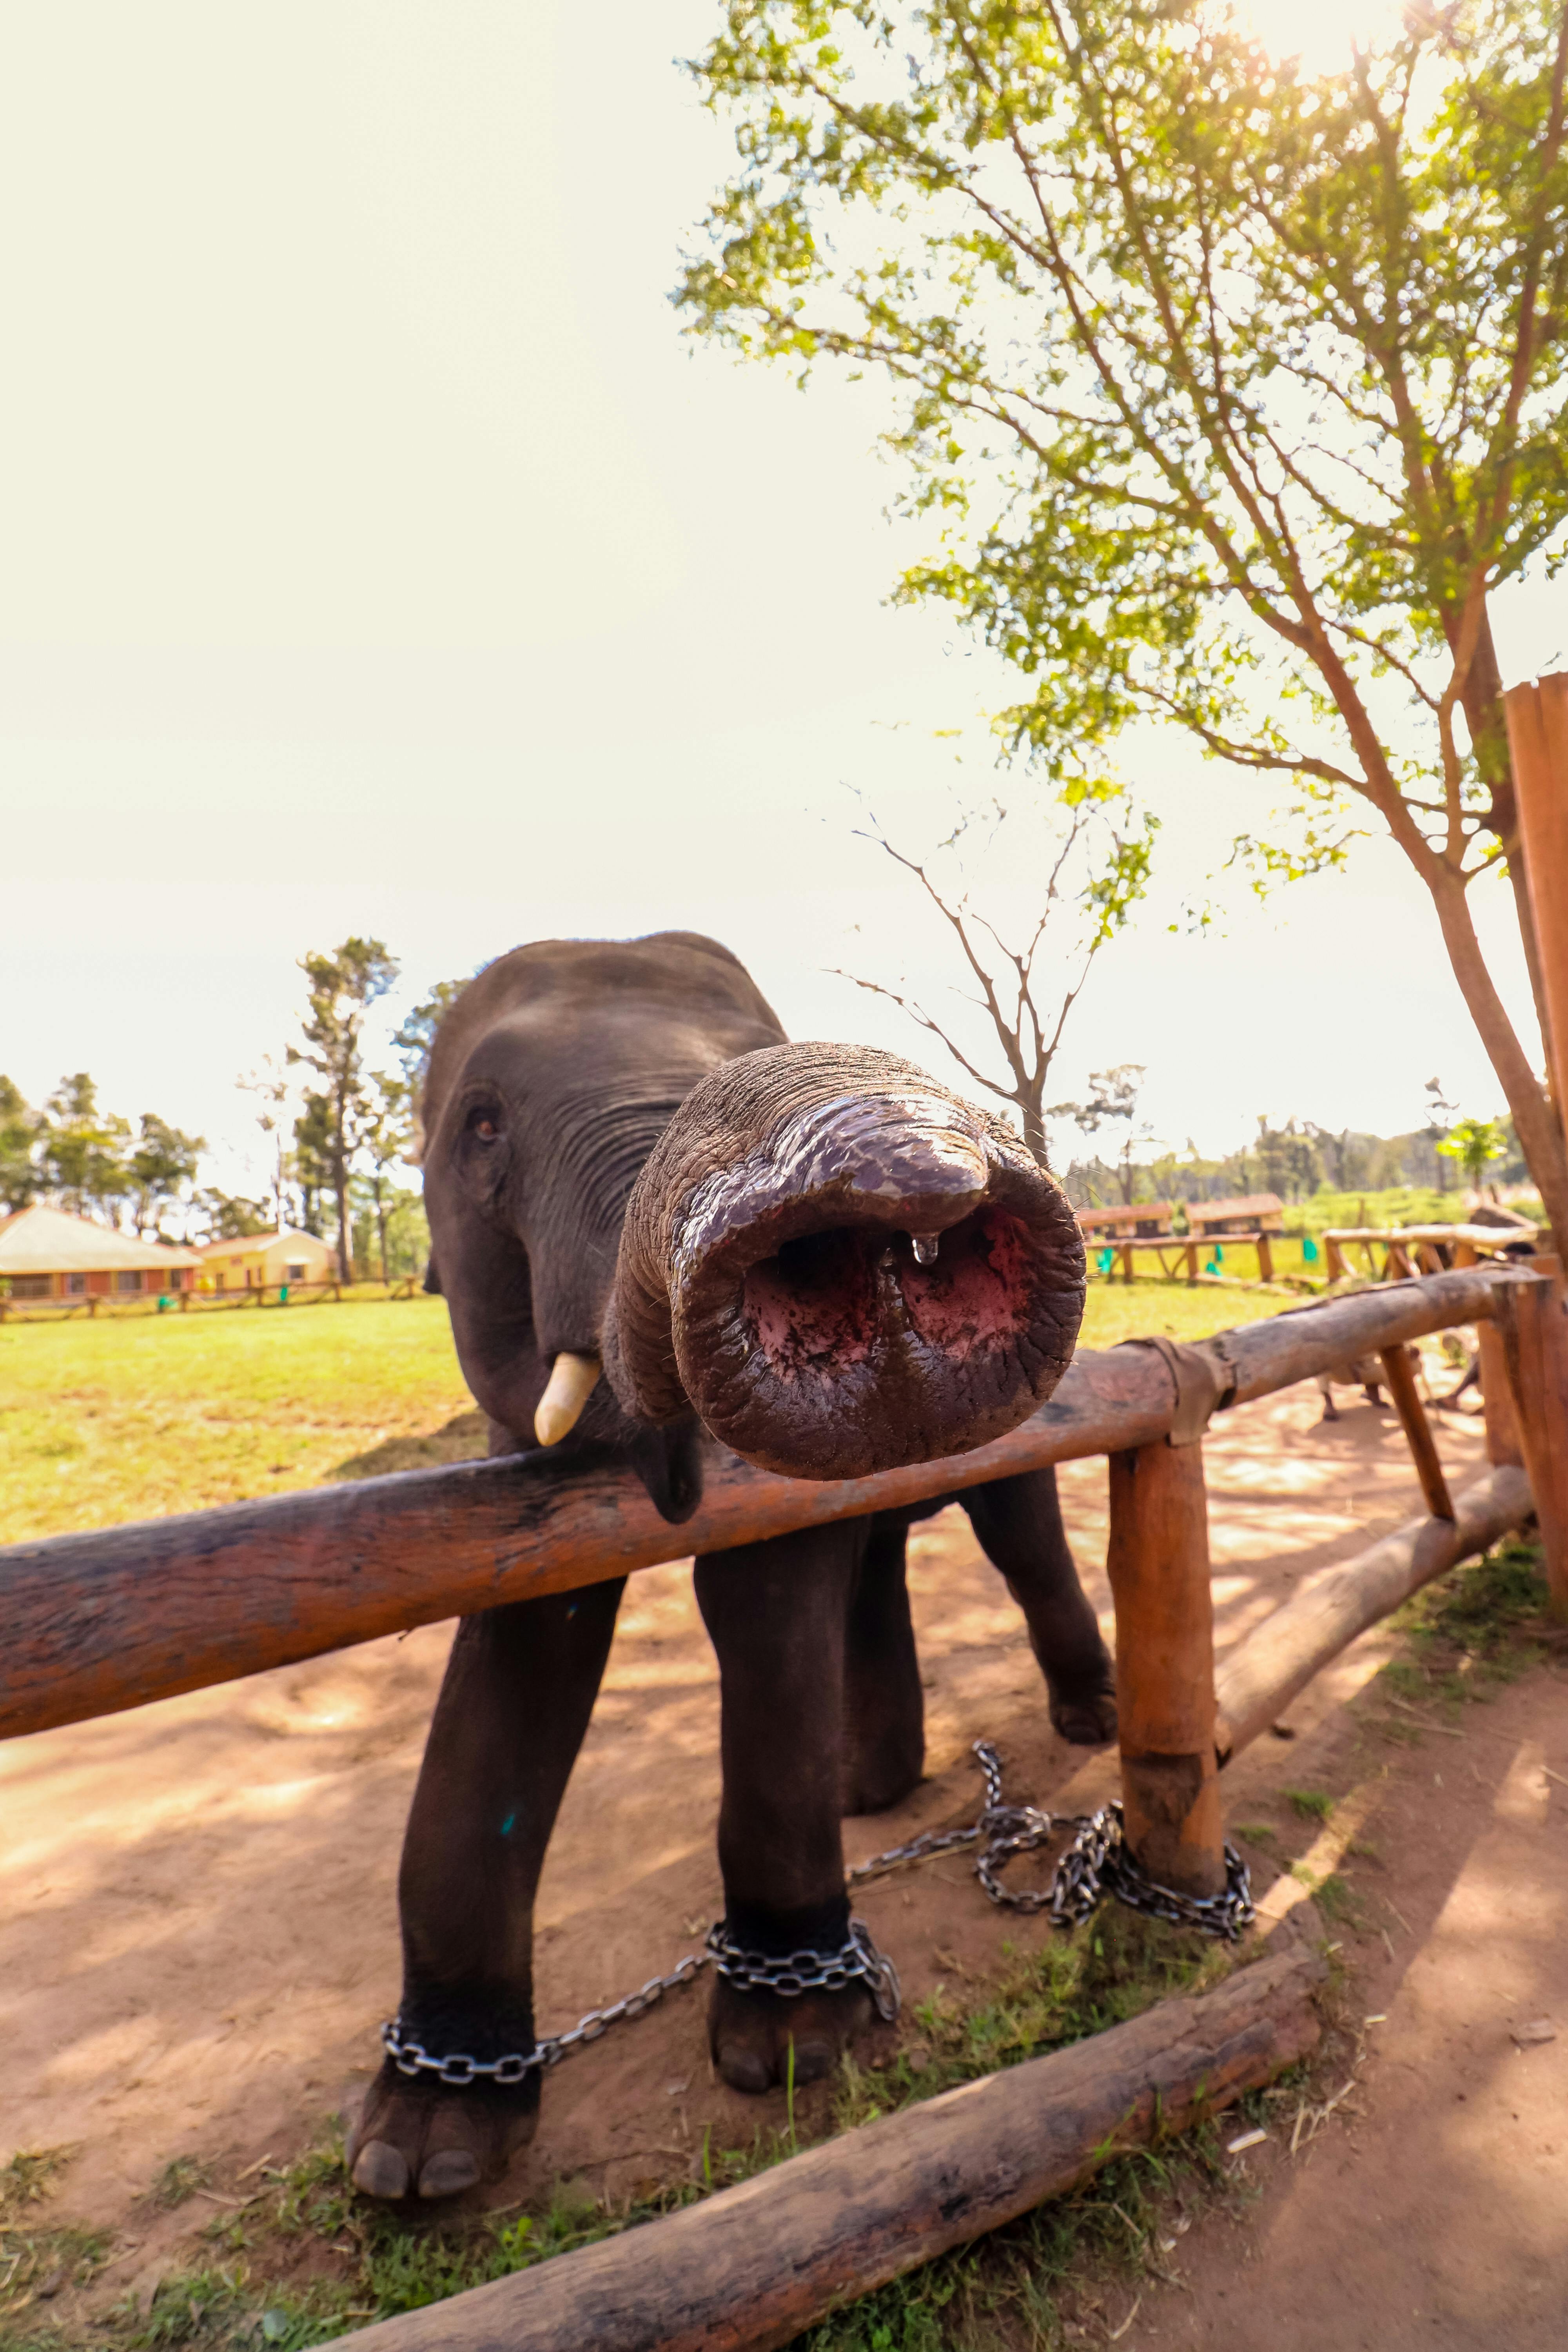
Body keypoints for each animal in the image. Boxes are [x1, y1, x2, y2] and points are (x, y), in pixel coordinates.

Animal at [347, 931, 1116, 2201]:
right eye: (482, 1127)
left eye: (759, 1050)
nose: (913, 1198)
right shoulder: (513, 1468)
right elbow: (525, 1637)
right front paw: (424, 2151)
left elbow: (765, 1602)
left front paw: (794, 2043)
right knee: (877, 1562)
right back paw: (872, 1789)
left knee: (1020, 1535)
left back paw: (1086, 1722)